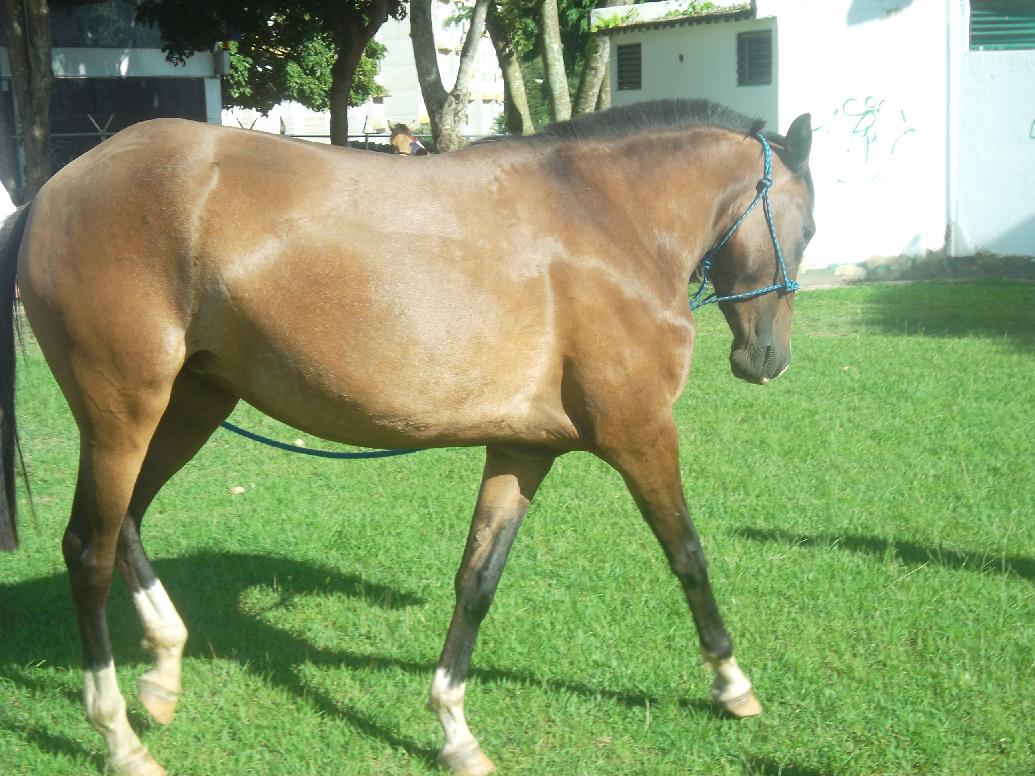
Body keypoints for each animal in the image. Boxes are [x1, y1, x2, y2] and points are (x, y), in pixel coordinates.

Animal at [0, 98, 815, 776]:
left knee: (129, 523)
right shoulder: (641, 433)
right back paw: (120, 738)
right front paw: (730, 682)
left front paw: (454, 730)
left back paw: (163, 672)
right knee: (89, 551)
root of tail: (56, 189)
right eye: (805, 227)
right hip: (121, 412)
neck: (603, 223)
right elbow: (687, 554)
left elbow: (477, 581)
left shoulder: (523, 450)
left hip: (191, 403)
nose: (767, 359)